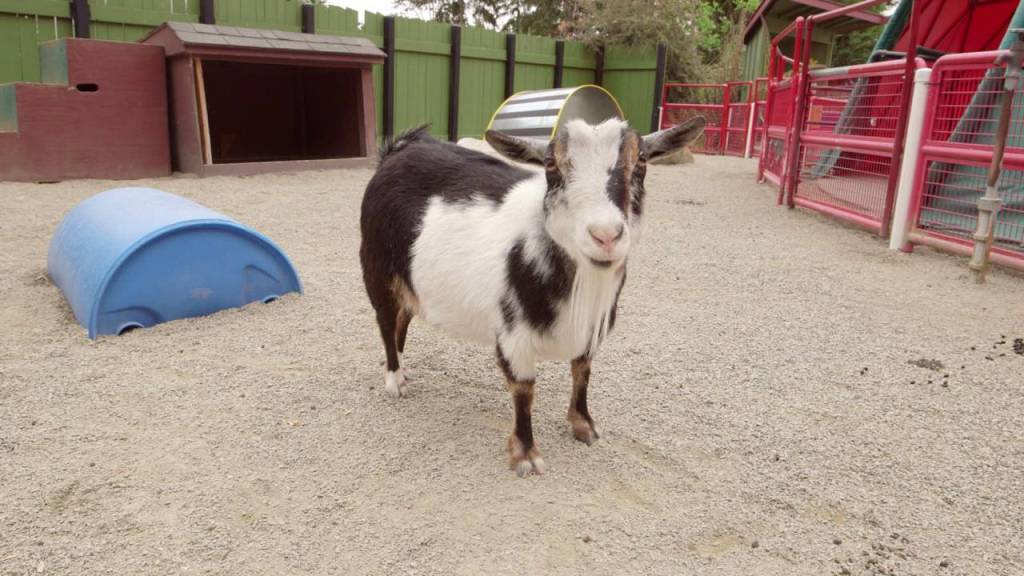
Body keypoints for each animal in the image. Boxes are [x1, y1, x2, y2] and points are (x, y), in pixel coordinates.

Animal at [359, 116, 705, 476]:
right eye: (551, 165)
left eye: (642, 160)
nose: (605, 235)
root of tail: (397, 151)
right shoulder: (513, 335)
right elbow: (524, 390)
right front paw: (525, 455)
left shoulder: (589, 332)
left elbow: (582, 373)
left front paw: (584, 426)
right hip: (377, 270)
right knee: (386, 322)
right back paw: (395, 380)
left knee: (403, 320)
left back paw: (402, 368)